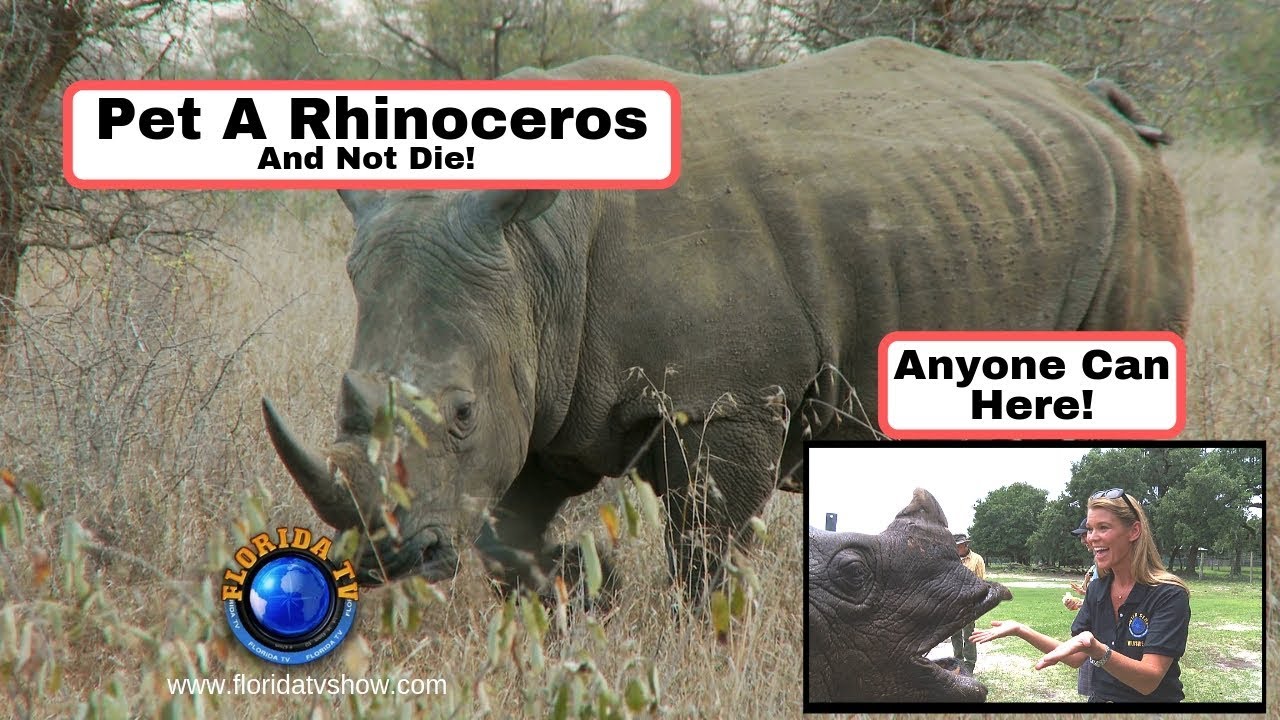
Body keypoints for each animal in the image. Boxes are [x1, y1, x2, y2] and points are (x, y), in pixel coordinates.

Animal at [262, 37, 1191, 595]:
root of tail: (1112, 112)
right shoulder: (547, 385)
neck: (537, 258)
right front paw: (582, 584)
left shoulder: (728, 398)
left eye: (459, 413)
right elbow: (506, 535)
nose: (391, 558)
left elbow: (702, 551)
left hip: (1135, 205)